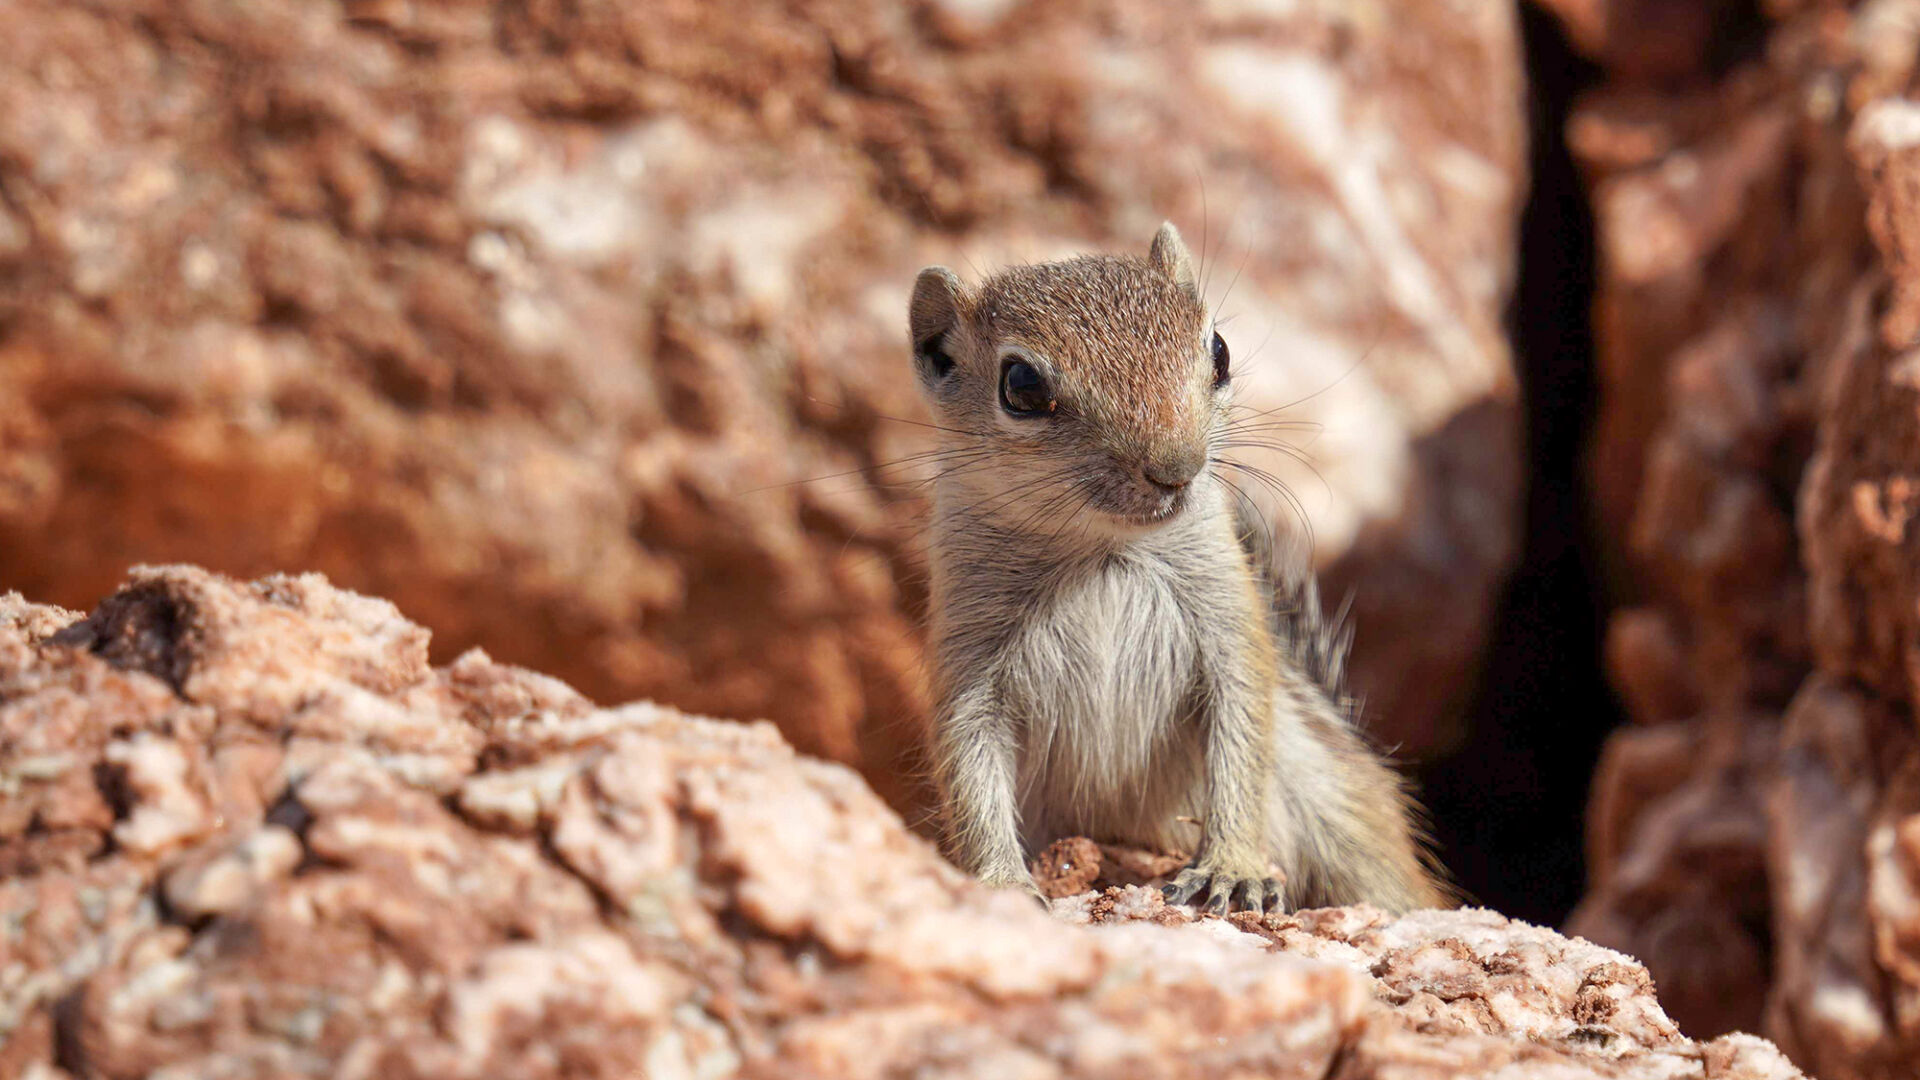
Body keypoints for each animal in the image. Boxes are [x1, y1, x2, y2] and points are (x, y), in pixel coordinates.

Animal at [908, 222, 1451, 914]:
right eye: (1022, 386)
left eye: (1219, 350)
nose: (1176, 467)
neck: (1103, 550)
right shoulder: (968, 663)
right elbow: (970, 772)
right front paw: (999, 882)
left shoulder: (1230, 628)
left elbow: (1243, 738)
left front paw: (1233, 866)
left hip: (1346, 819)